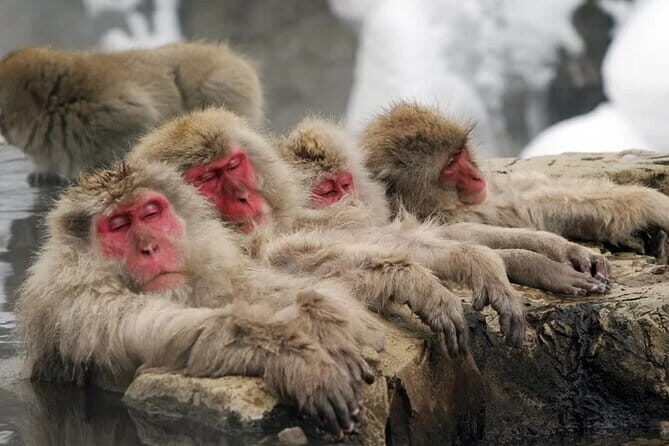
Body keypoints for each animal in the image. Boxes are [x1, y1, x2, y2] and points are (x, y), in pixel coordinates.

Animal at [16, 160, 385, 437]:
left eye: (150, 214)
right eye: (118, 225)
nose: (150, 247)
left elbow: (257, 288)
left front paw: (322, 319)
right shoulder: (82, 305)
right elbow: (161, 332)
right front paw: (295, 355)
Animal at [275, 116, 612, 297]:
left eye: (344, 184)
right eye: (328, 192)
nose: (353, 201)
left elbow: (447, 233)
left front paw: (555, 249)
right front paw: (537, 267)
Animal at [359, 101, 669, 273]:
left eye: (459, 153)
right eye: (450, 165)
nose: (476, 176)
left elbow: (527, 200)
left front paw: (653, 203)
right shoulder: (446, 214)